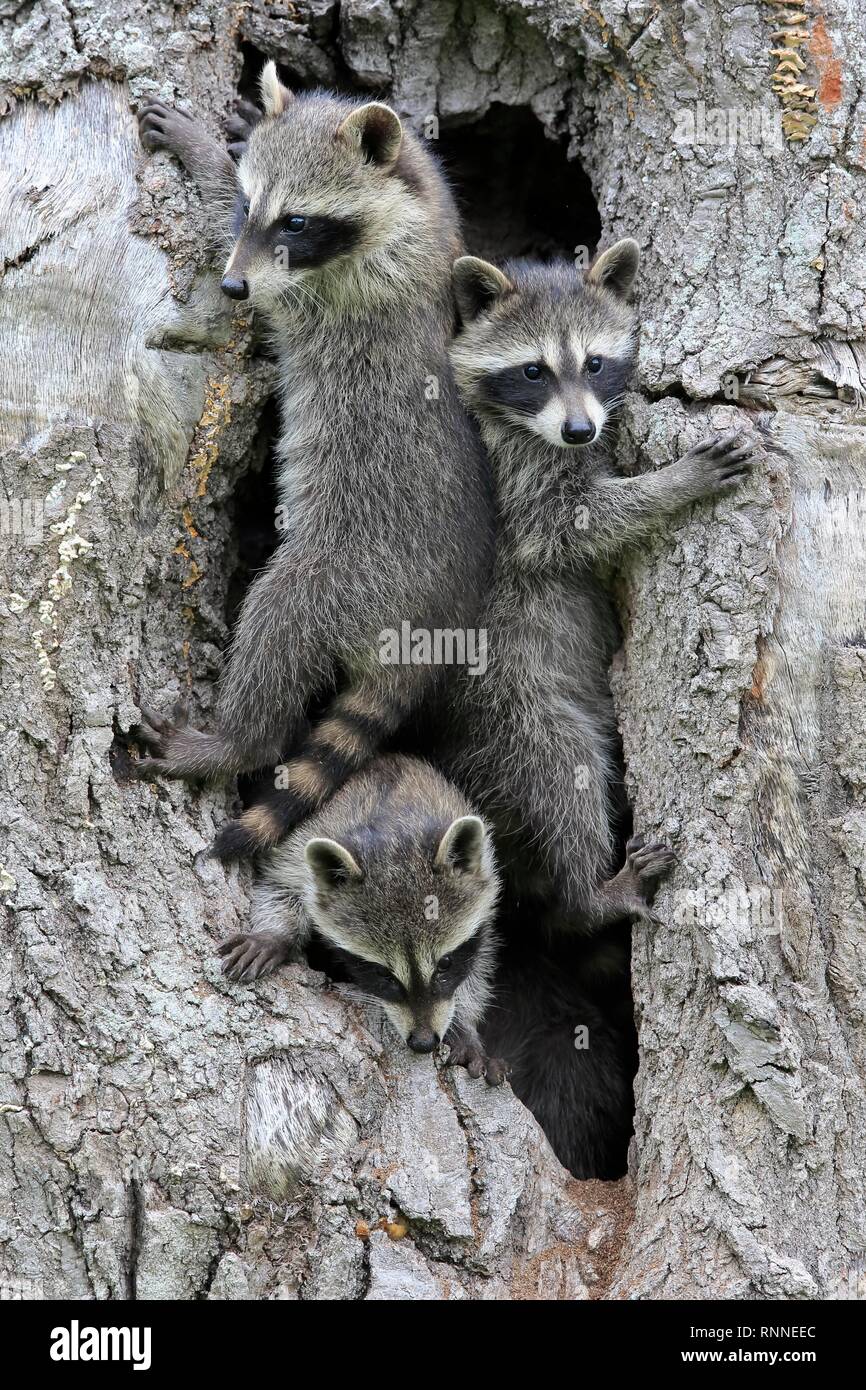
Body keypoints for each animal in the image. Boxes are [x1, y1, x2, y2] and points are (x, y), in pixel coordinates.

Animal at [135, 65, 494, 861]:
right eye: (253, 206)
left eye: (295, 222)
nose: (233, 288)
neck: (409, 207)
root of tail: (440, 618)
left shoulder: (335, 292)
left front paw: (201, 151)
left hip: (349, 572)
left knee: (280, 619)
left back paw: (233, 739)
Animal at [217, 755, 505, 1083]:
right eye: (382, 973)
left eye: (445, 963)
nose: (423, 1043)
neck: (395, 835)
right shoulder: (298, 847)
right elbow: (279, 886)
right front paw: (275, 934)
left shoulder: (486, 882)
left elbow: (479, 962)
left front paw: (464, 1024)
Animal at [440, 242, 755, 930]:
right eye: (533, 371)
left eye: (594, 362)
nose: (581, 432)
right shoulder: (511, 468)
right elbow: (564, 528)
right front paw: (672, 483)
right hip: (510, 703)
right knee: (564, 773)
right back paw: (590, 894)